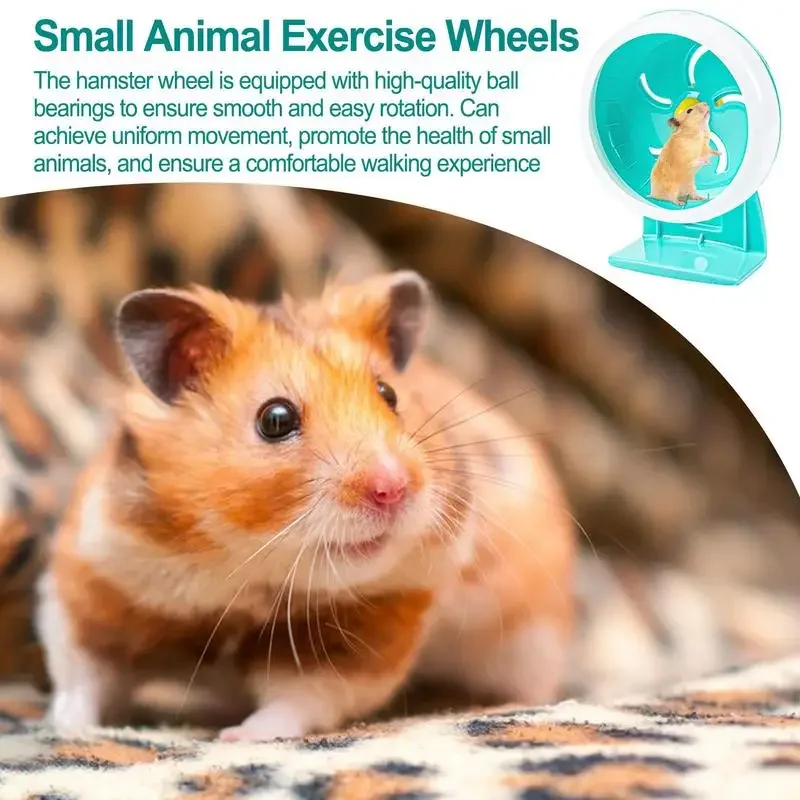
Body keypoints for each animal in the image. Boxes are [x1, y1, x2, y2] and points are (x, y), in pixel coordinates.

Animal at [37, 272, 576, 742]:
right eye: (275, 419)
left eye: (389, 394)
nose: (394, 487)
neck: (246, 567)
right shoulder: (89, 584)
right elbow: (82, 671)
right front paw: (67, 728)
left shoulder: (370, 628)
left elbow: (298, 698)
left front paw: (238, 737)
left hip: (532, 637)